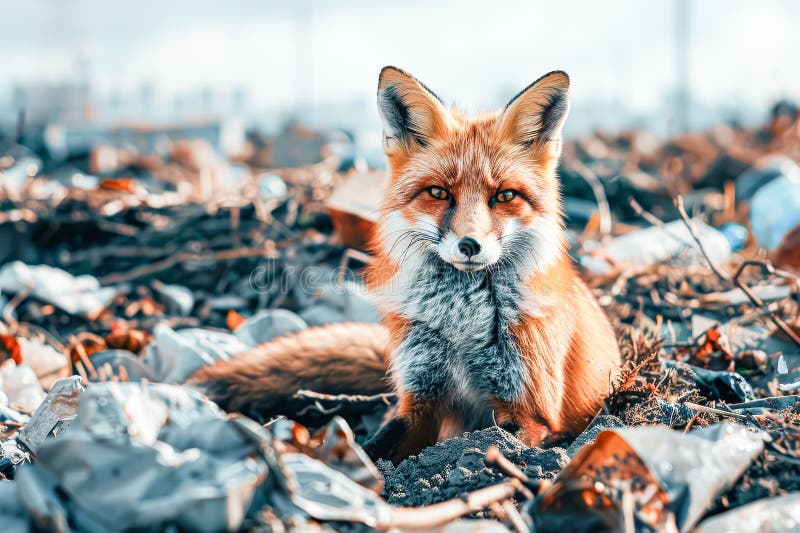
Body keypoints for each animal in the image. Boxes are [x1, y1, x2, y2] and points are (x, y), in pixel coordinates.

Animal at [189, 67, 620, 461]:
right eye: (439, 192)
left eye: (504, 196)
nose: (470, 244)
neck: (462, 323)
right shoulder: (419, 397)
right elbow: (377, 449)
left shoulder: (530, 412)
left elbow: (497, 443)